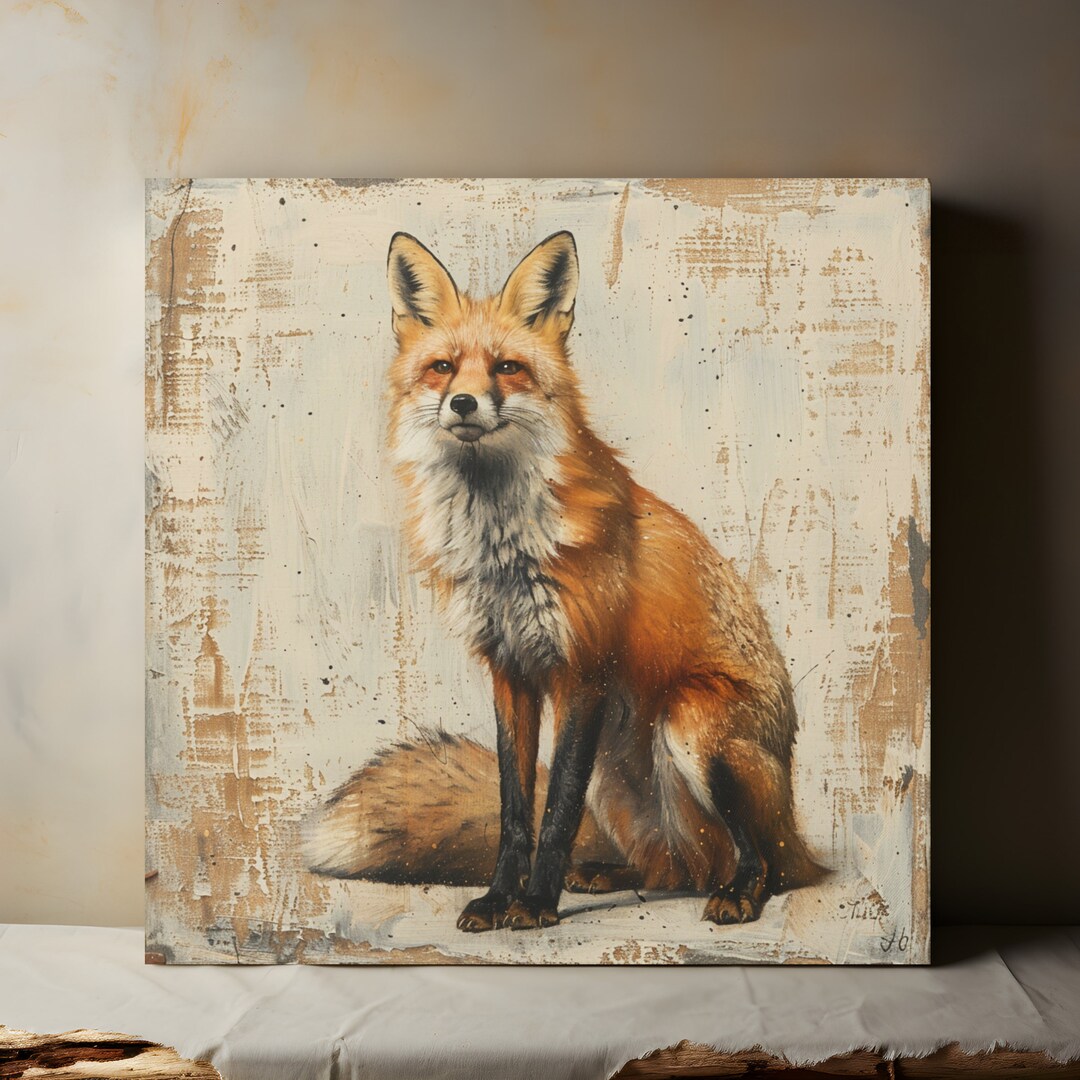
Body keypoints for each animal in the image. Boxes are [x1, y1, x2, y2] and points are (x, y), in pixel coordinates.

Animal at [305, 229, 826, 932]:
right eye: (443, 367)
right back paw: (611, 873)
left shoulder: (584, 669)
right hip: (618, 776)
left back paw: (741, 891)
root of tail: (801, 839)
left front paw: (534, 903)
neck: (503, 549)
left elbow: (555, 813)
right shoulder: (509, 671)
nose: (463, 403)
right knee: (672, 868)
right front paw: (500, 898)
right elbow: (515, 811)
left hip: (690, 723)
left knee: (761, 860)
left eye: (506, 368)